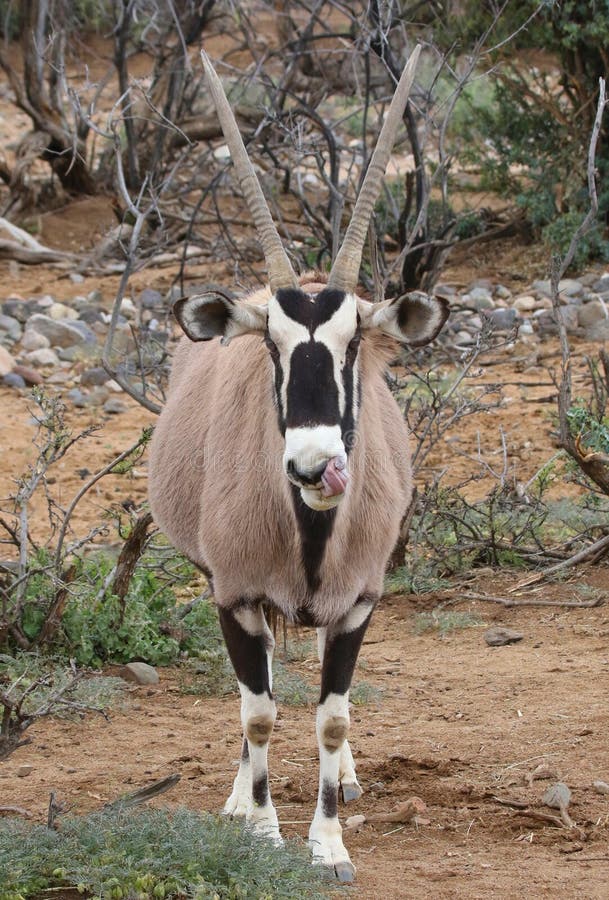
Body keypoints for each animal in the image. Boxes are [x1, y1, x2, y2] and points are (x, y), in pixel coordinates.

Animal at [149, 45, 449, 882]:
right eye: (271, 348)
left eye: (356, 348)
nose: (316, 469)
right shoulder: (234, 596)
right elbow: (257, 713)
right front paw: (260, 830)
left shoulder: (357, 604)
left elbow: (331, 719)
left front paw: (329, 843)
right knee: (256, 693)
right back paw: (237, 799)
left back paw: (340, 786)